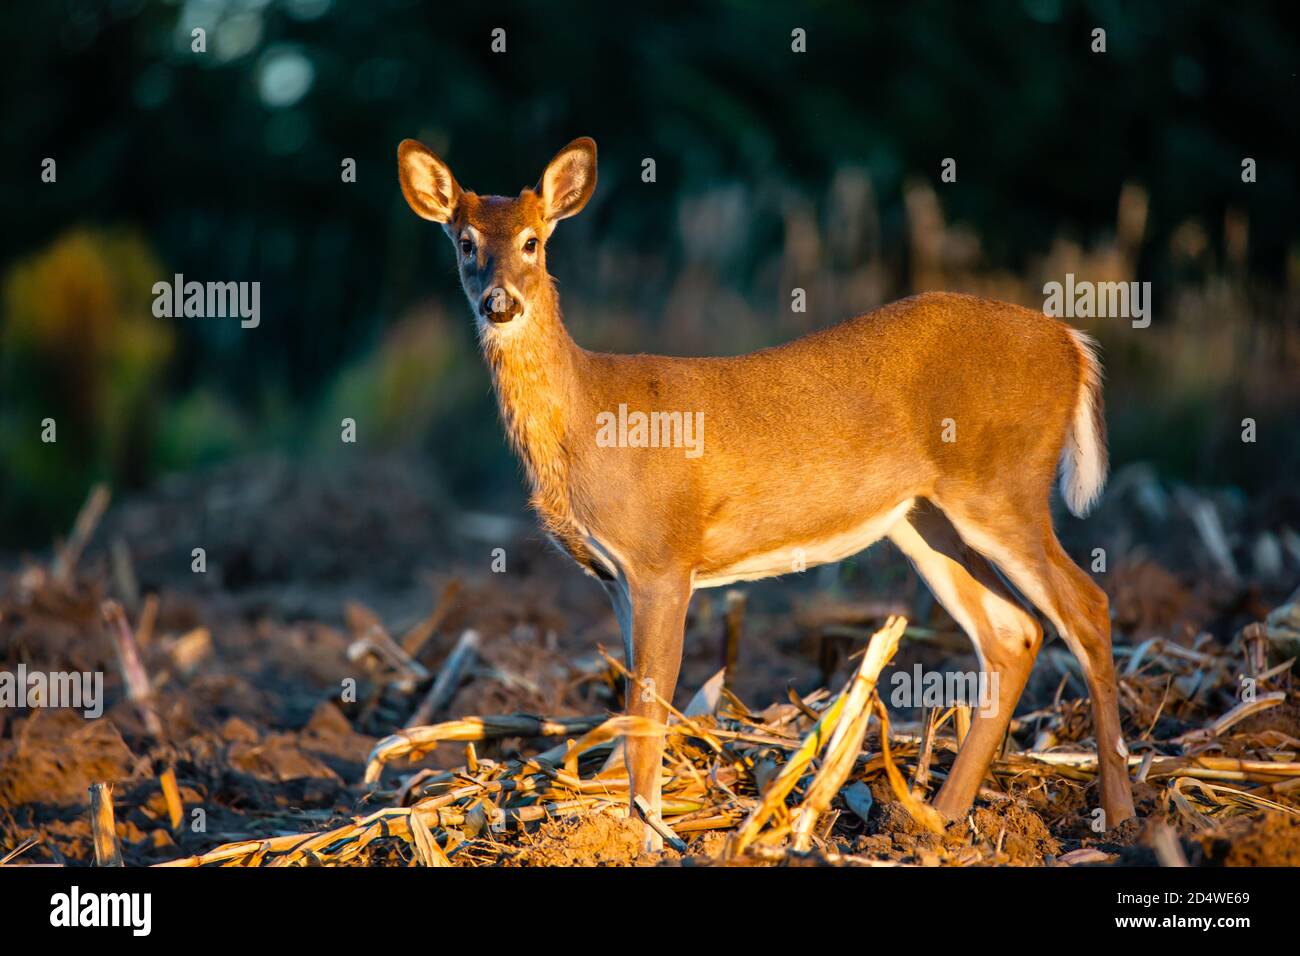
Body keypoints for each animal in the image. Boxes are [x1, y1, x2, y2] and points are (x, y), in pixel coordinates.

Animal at [396, 135, 1137, 850]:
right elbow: (634, 707)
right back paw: (937, 820)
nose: (500, 303)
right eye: (465, 242)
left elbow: (649, 714)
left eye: (533, 240)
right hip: (924, 518)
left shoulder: (663, 558)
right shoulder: (614, 577)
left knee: (1088, 606)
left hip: (1002, 487)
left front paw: (650, 835)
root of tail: (1072, 341)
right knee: (1014, 632)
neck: (588, 419)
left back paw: (1121, 815)